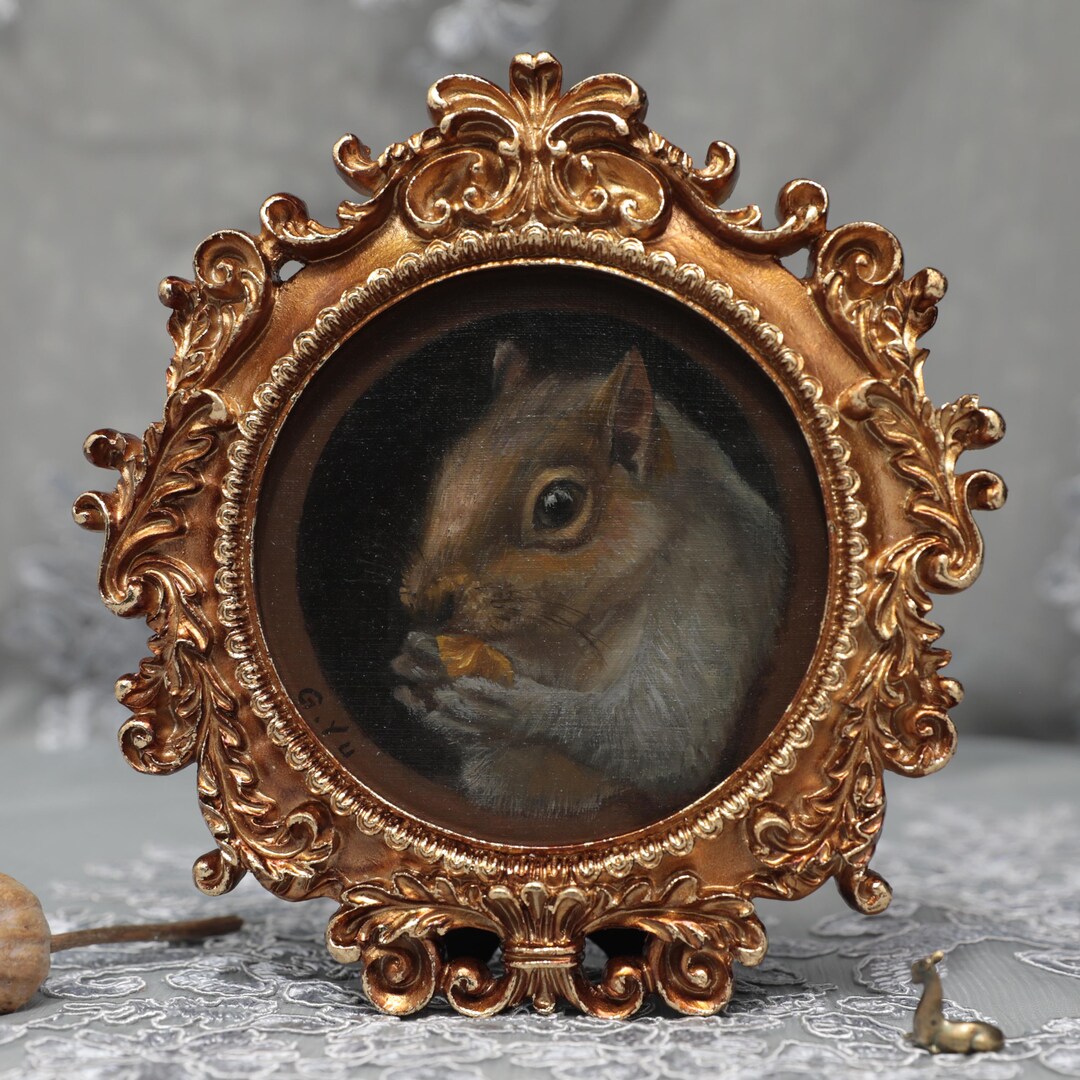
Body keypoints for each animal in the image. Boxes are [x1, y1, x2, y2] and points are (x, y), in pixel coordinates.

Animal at [391, 340, 788, 817]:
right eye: (447, 471)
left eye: (559, 506)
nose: (426, 605)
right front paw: (418, 663)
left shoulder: (714, 591)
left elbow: (662, 735)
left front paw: (515, 707)